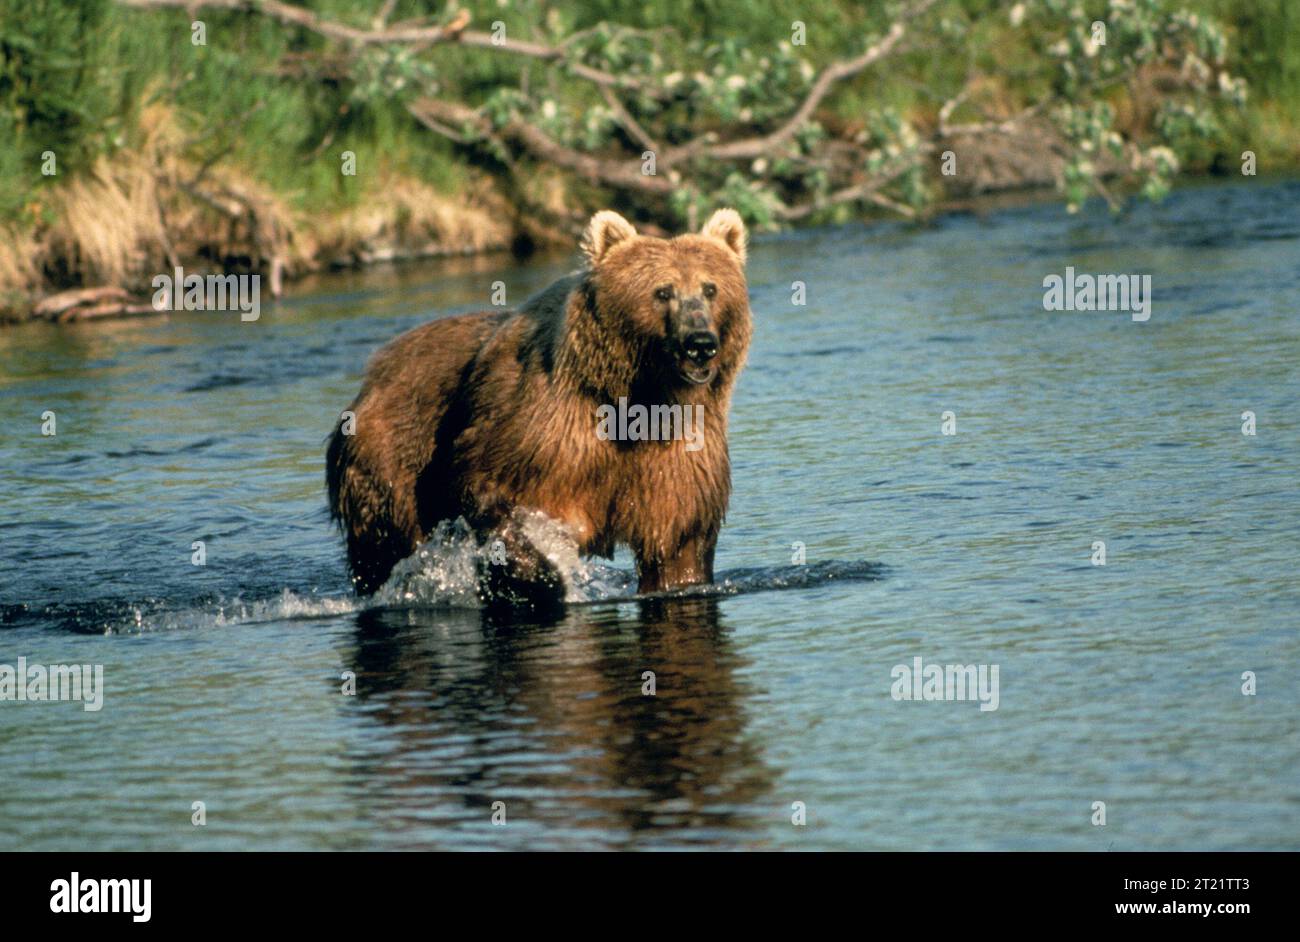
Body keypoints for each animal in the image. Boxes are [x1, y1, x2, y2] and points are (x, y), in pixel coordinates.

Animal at [325, 208, 752, 605]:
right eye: (663, 291)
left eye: (710, 288)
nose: (699, 342)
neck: (640, 400)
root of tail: (373, 373)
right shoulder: (546, 432)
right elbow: (496, 495)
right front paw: (541, 579)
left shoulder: (678, 456)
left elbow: (677, 544)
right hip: (392, 455)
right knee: (386, 544)